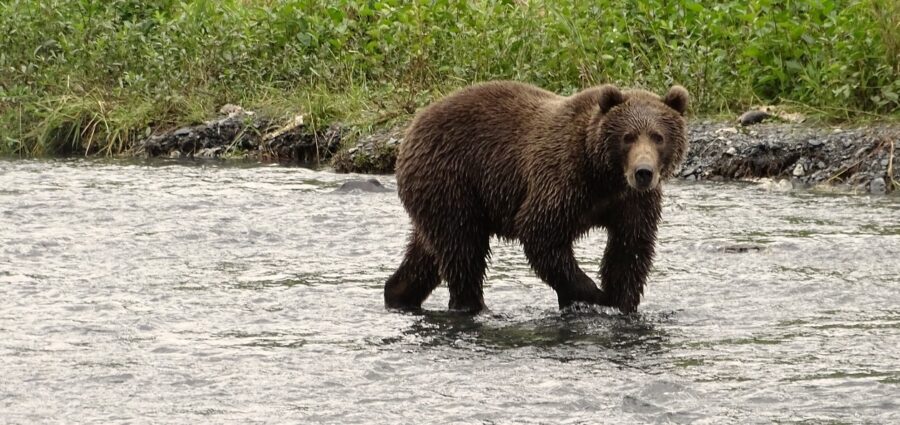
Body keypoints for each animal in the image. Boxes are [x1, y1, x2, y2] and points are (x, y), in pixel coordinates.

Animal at [384, 81, 689, 314]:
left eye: (658, 137)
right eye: (628, 137)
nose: (643, 172)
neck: (604, 176)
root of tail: (413, 126)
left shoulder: (631, 203)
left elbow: (630, 249)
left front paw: (620, 302)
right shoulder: (563, 181)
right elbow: (541, 233)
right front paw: (593, 296)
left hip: (438, 196)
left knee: (428, 252)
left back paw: (398, 294)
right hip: (451, 180)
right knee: (463, 249)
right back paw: (473, 307)